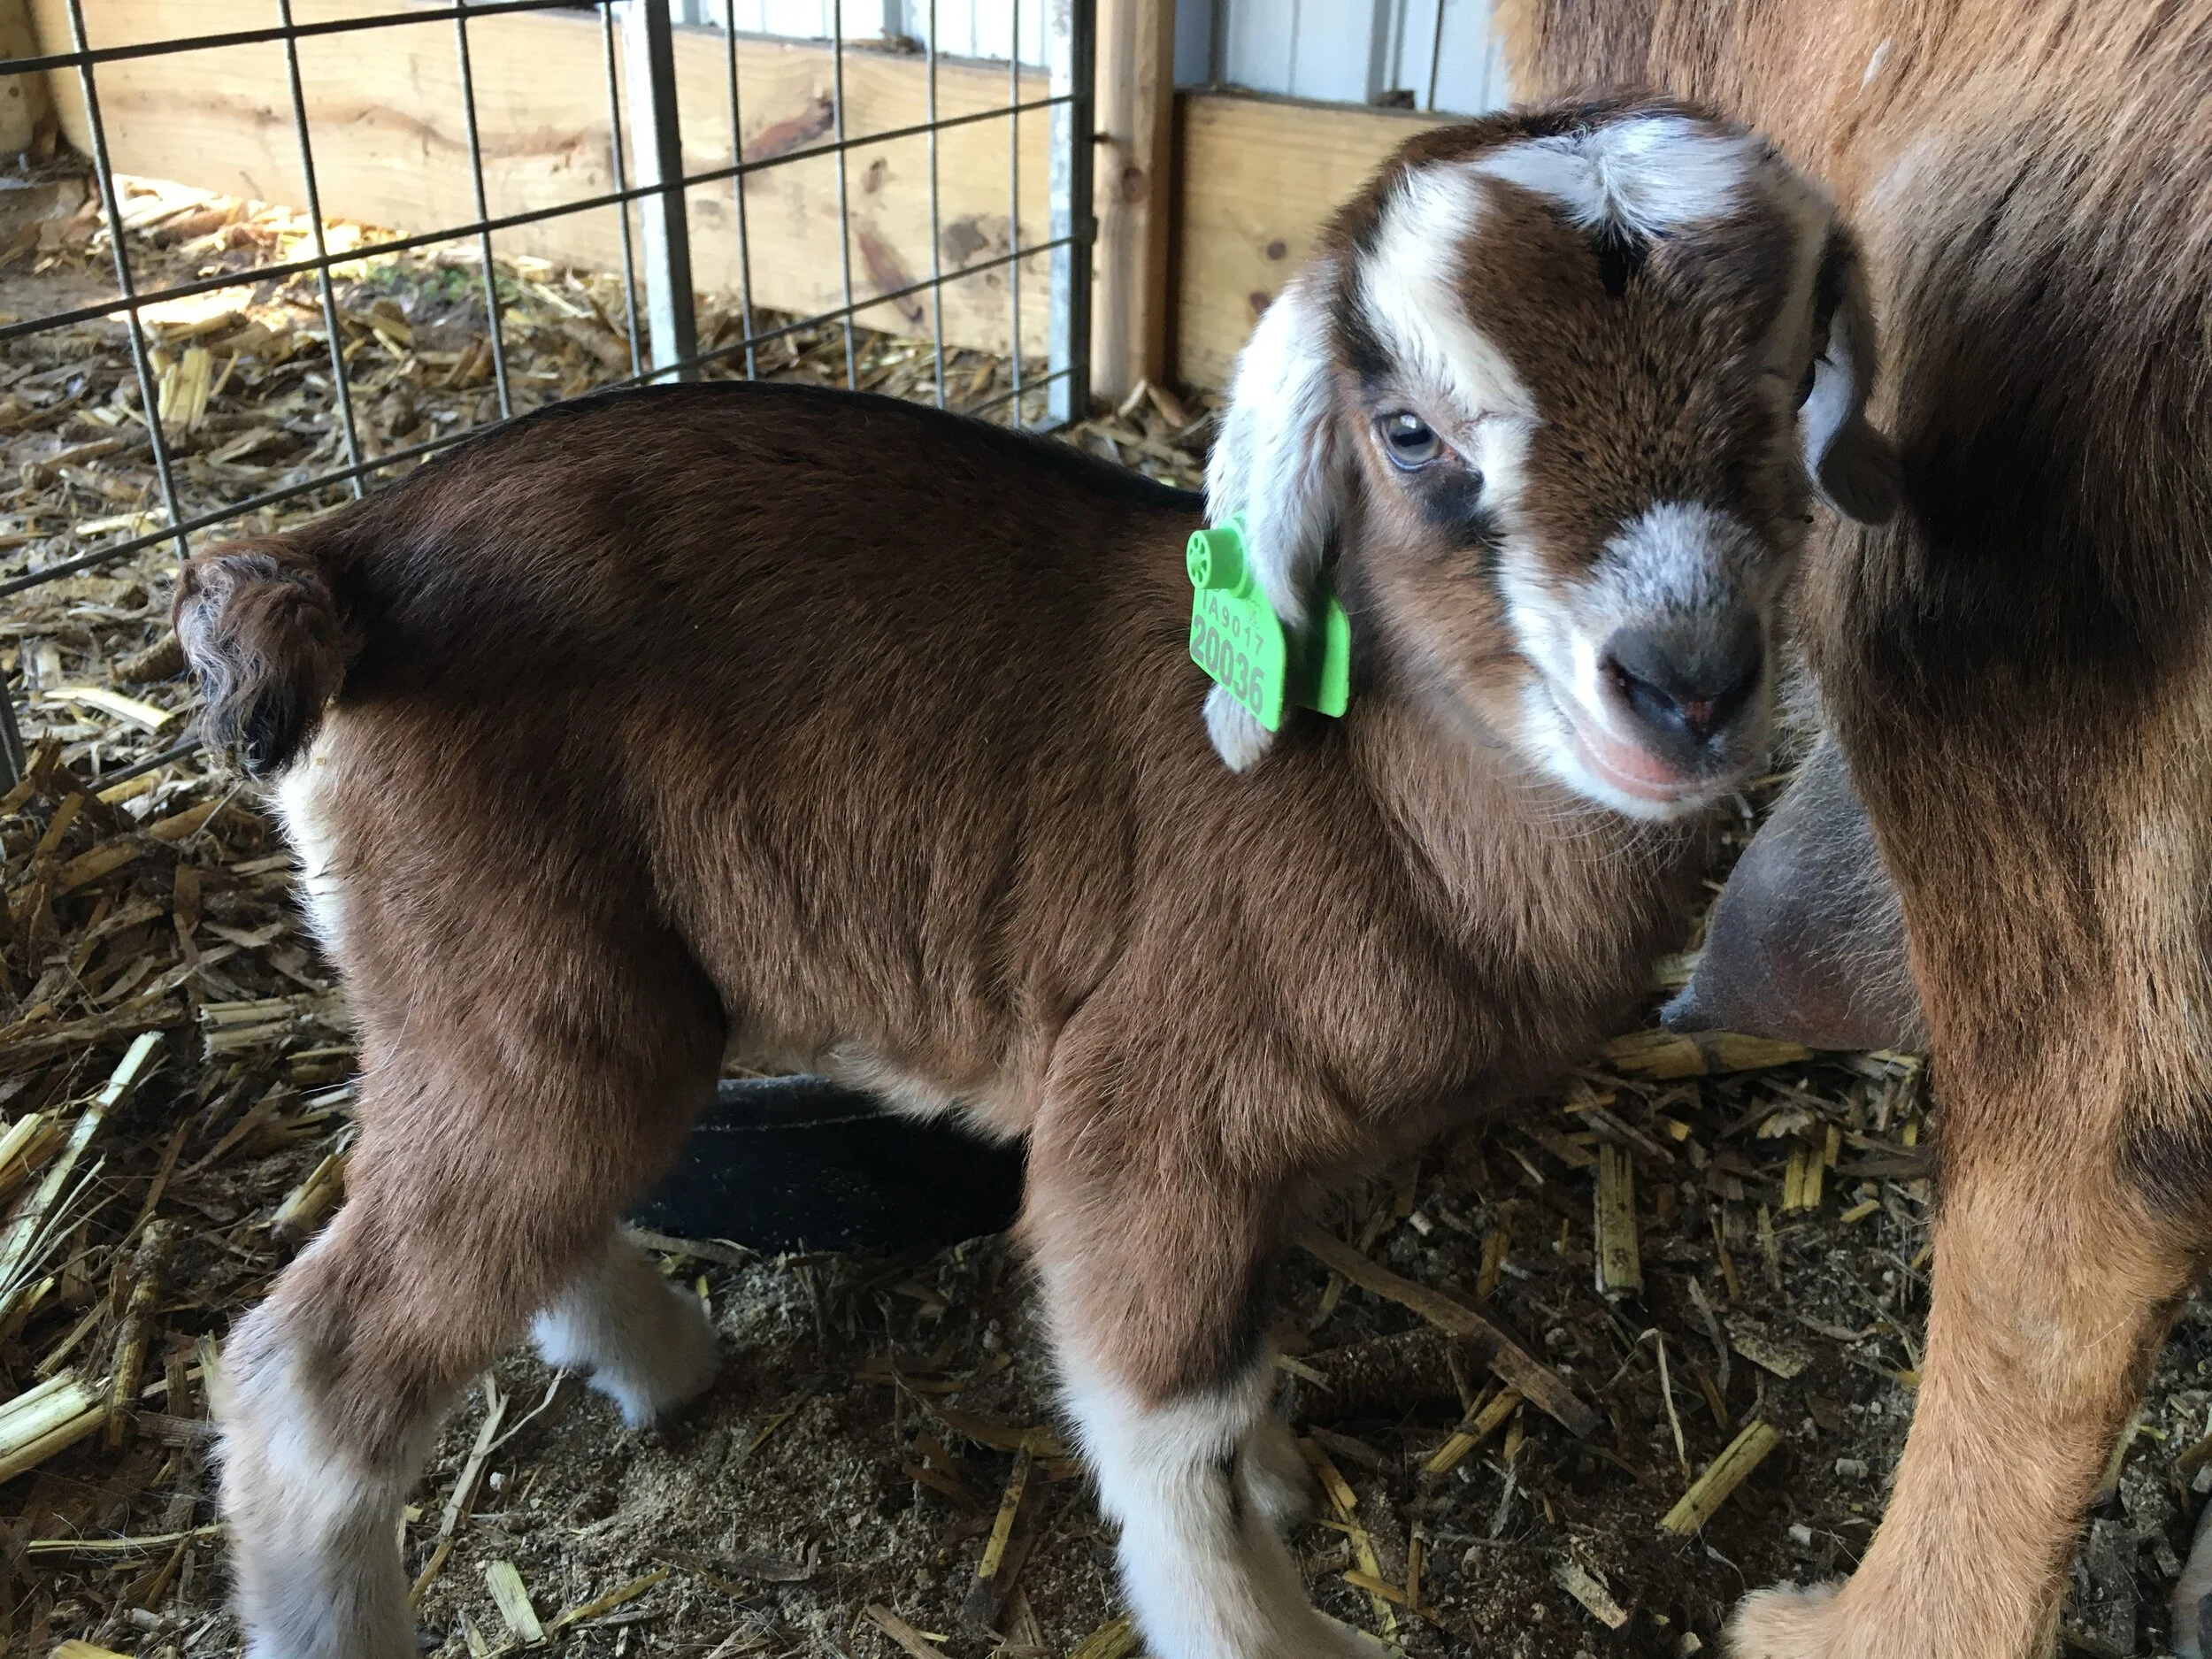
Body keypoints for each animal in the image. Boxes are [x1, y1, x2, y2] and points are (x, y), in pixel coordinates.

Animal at [175, 99, 1893, 1659]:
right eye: (1410, 432)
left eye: (1781, 396)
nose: (1685, 683)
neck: (1376, 796)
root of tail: (342, 567)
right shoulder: (1152, 1128)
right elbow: (1171, 1429)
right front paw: (1270, 1613)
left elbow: (1242, 1380)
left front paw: (1282, 1465)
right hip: (517, 980)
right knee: (309, 1377)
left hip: (525, 1004)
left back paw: (654, 1357)